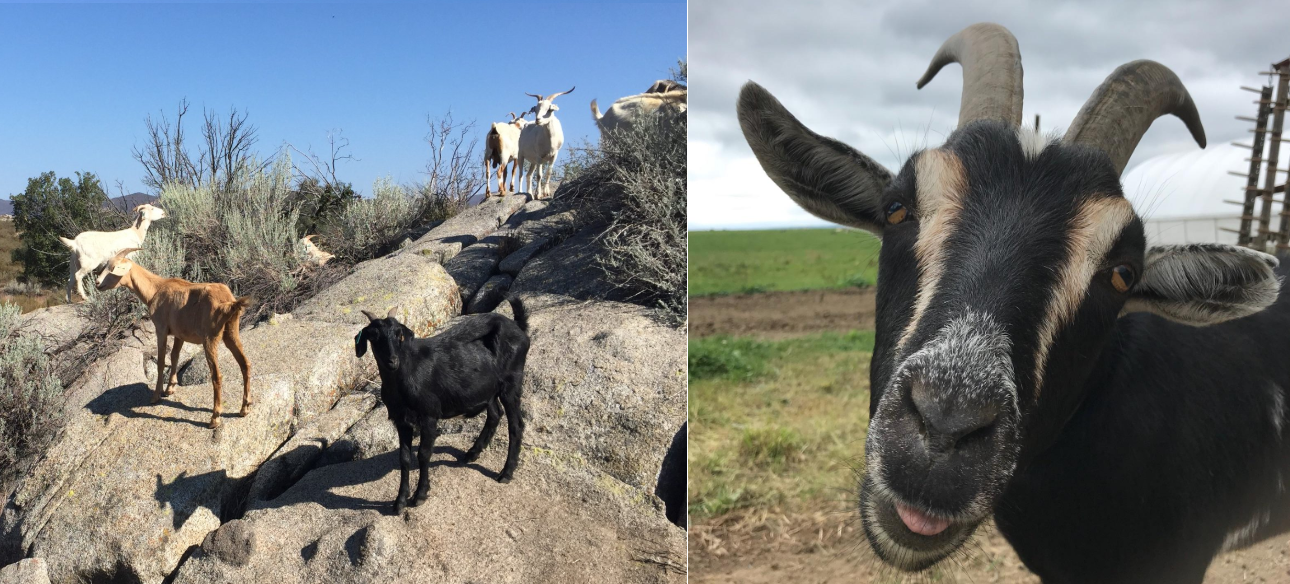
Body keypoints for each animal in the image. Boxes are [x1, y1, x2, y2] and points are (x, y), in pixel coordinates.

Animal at [95, 248, 252, 429]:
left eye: (113, 268)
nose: (97, 283)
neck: (155, 289)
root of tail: (228, 303)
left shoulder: (161, 328)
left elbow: (162, 361)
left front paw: (156, 396)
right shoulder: (179, 333)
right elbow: (175, 356)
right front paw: (170, 388)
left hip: (210, 338)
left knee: (217, 376)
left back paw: (214, 419)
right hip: (232, 333)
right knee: (245, 364)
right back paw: (244, 408)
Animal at [354, 299, 530, 514]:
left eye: (399, 334)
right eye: (373, 336)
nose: (392, 361)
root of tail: (518, 328)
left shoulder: (429, 415)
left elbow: (423, 454)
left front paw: (420, 495)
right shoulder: (401, 420)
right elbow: (404, 458)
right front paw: (400, 502)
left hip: (511, 383)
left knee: (516, 425)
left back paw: (506, 472)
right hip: (488, 389)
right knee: (495, 414)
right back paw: (472, 453)